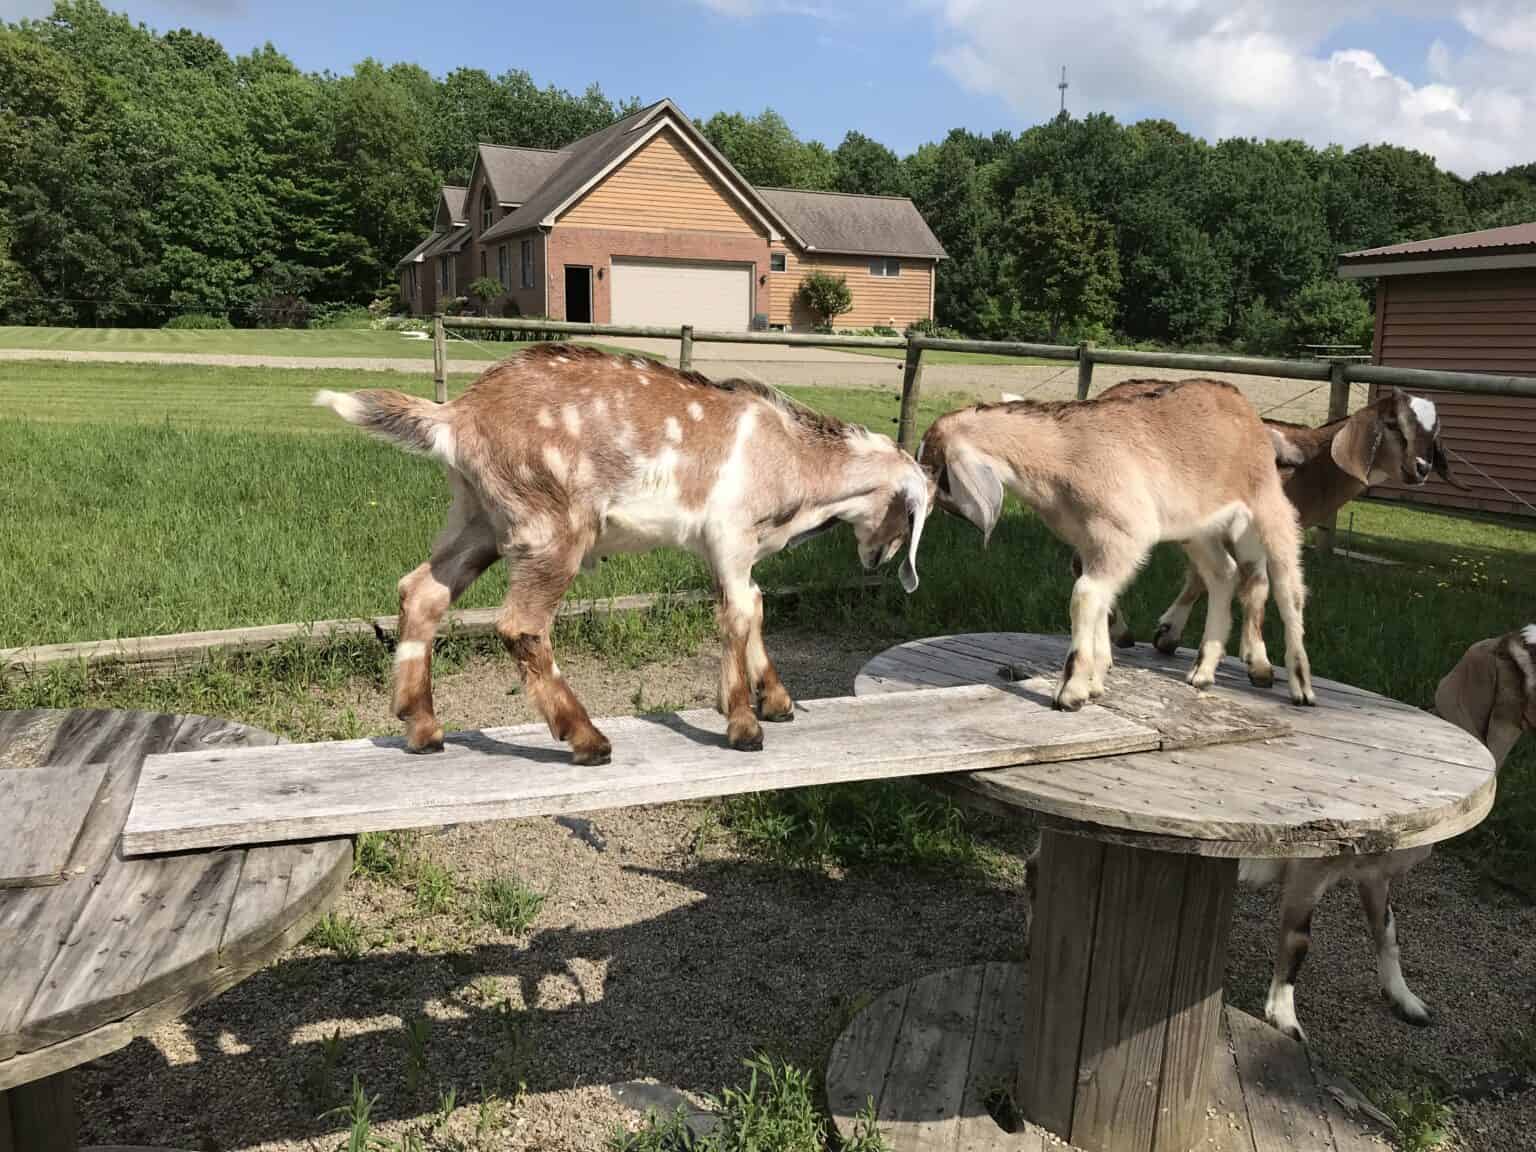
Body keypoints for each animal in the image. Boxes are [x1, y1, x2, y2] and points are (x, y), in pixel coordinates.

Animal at [316, 344, 931, 764]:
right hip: (552, 527)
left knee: (422, 592)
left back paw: (423, 729)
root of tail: (457, 416)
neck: (791, 455)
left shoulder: (732, 554)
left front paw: (776, 702)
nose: (879, 560)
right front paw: (743, 725)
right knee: (521, 624)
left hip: (478, 519)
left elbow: (754, 607)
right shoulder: (729, 535)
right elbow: (738, 616)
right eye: (909, 514)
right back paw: (587, 739)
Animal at [920, 378, 1314, 710]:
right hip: (1198, 527)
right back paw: (1203, 672)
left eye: (936, 469)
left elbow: (1085, 595)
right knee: (1223, 575)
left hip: (1267, 506)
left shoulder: (1122, 536)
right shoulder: (1089, 542)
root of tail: (1248, 412)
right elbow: (1099, 598)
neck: (1065, 455)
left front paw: (1072, 691)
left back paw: (1298, 685)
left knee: (1285, 586)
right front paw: (1094, 682)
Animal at [1096, 384, 1457, 652]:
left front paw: (1169, 634)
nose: (1421, 468)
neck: (1314, 465)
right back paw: (1118, 630)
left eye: (1434, 433)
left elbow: (1205, 575)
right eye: (1393, 424)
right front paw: (1169, 632)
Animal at [1245, 626, 1535, 1041]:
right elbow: (1299, 938)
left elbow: (1388, 932)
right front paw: (1284, 1019)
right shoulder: (1311, 866)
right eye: (1524, 659)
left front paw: (1406, 1001)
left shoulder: (1374, 873)